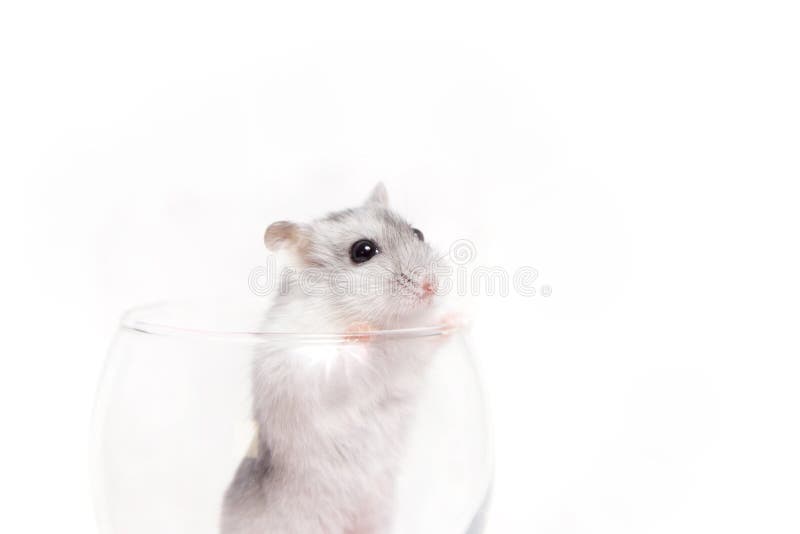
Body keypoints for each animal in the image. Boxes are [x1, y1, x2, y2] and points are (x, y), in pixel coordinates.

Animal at [221, 184, 450, 534]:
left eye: (418, 233)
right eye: (363, 250)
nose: (430, 287)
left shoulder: (410, 355)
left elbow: (426, 345)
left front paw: (457, 320)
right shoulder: (304, 366)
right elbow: (339, 364)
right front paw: (359, 333)